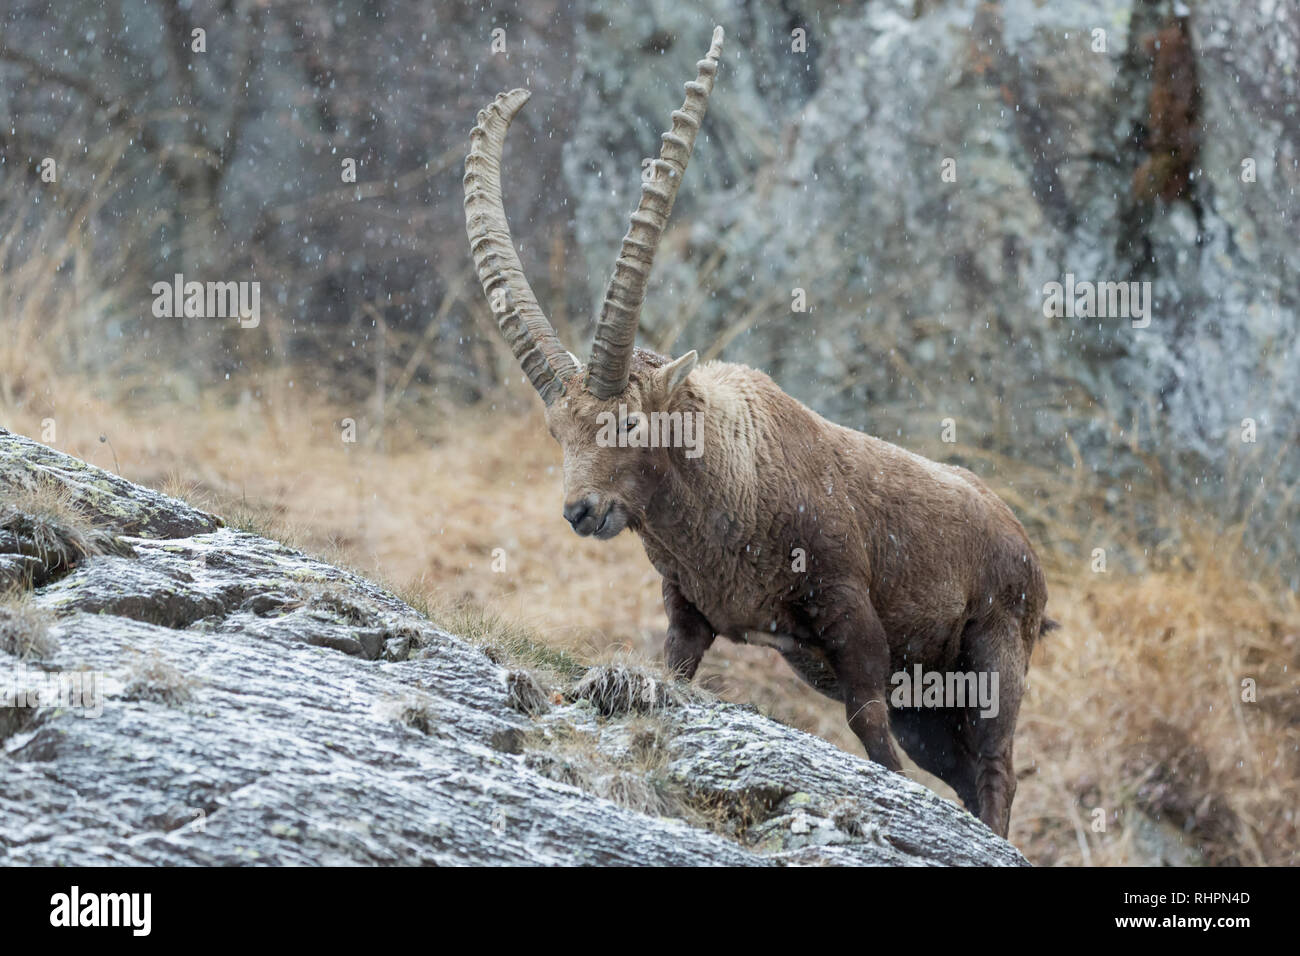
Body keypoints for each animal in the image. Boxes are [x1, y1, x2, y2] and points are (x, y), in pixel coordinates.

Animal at [463, 26, 1051, 837]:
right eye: (558, 434)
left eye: (629, 422)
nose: (581, 510)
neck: (732, 486)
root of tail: (1019, 535)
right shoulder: (689, 609)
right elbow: (673, 674)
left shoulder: (849, 608)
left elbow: (867, 721)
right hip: (930, 704)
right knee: (961, 770)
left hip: (995, 647)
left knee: (995, 771)